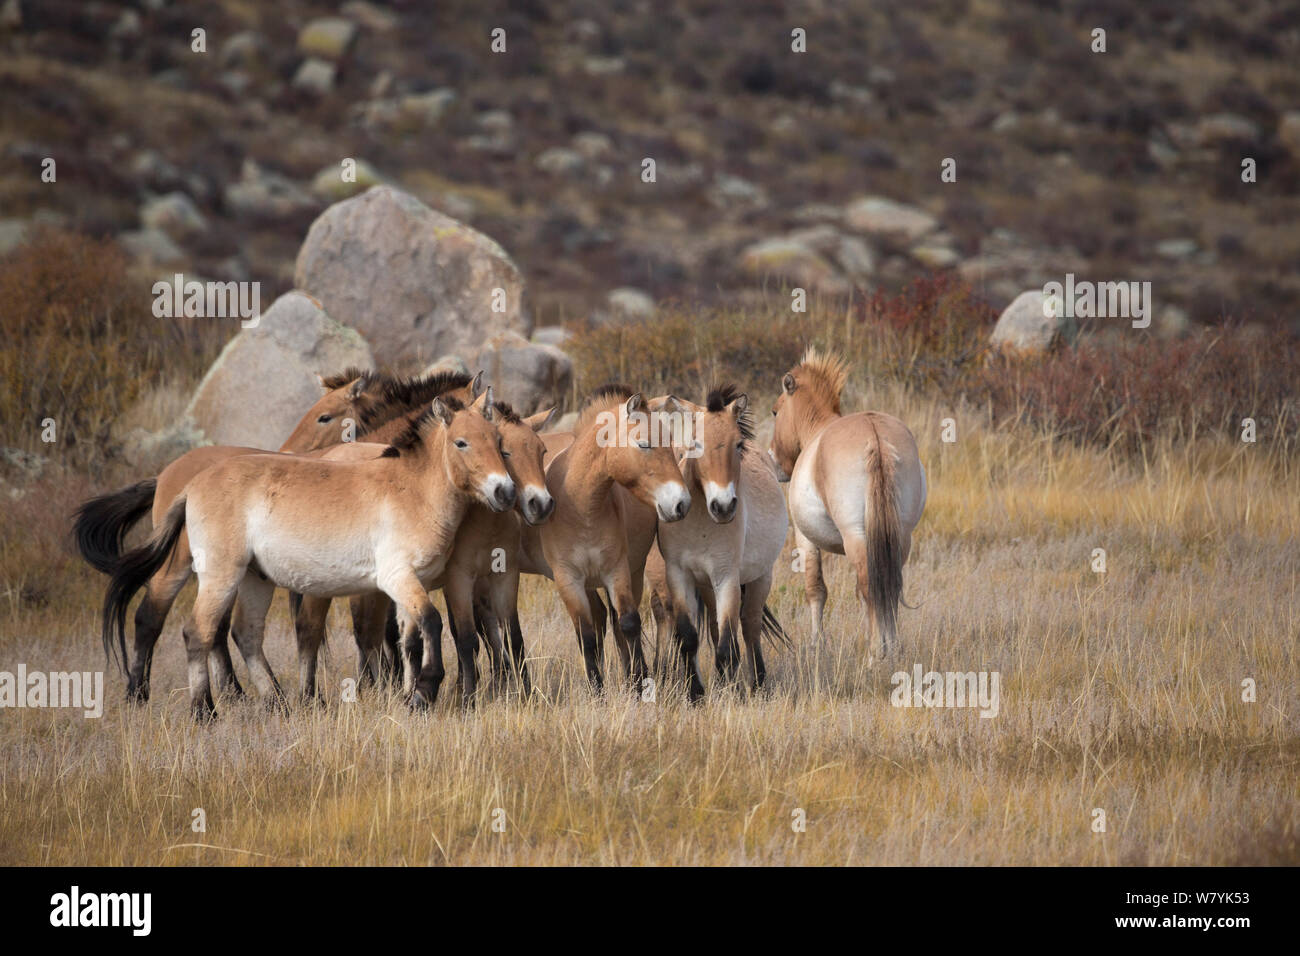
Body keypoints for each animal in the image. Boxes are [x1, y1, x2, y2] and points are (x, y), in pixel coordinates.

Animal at [75, 369, 481, 702]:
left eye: (324, 415)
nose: (288, 450)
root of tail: (169, 475)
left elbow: (388, 632)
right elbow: (340, 630)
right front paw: (356, 691)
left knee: (219, 629)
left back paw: (236, 693)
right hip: (184, 566)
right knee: (153, 616)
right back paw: (142, 692)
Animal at [645, 386, 789, 699]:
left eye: (737, 445)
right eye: (696, 444)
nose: (723, 506)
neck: (700, 524)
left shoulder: (726, 579)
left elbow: (726, 647)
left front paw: (727, 694)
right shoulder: (680, 576)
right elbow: (689, 637)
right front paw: (697, 694)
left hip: (760, 577)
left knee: (749, 627)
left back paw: (758, 684)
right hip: (707, 587)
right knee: (714, 627)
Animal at [769, 347, 926, 657]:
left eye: (775, 411)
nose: (775, 463)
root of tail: (876, 438)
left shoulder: (805, 538)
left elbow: (816, 590)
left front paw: (817, 643)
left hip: (855, 536)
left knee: (870, 585)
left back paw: (877, 652)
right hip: (899, 537)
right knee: (888, 585)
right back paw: (891, 647)